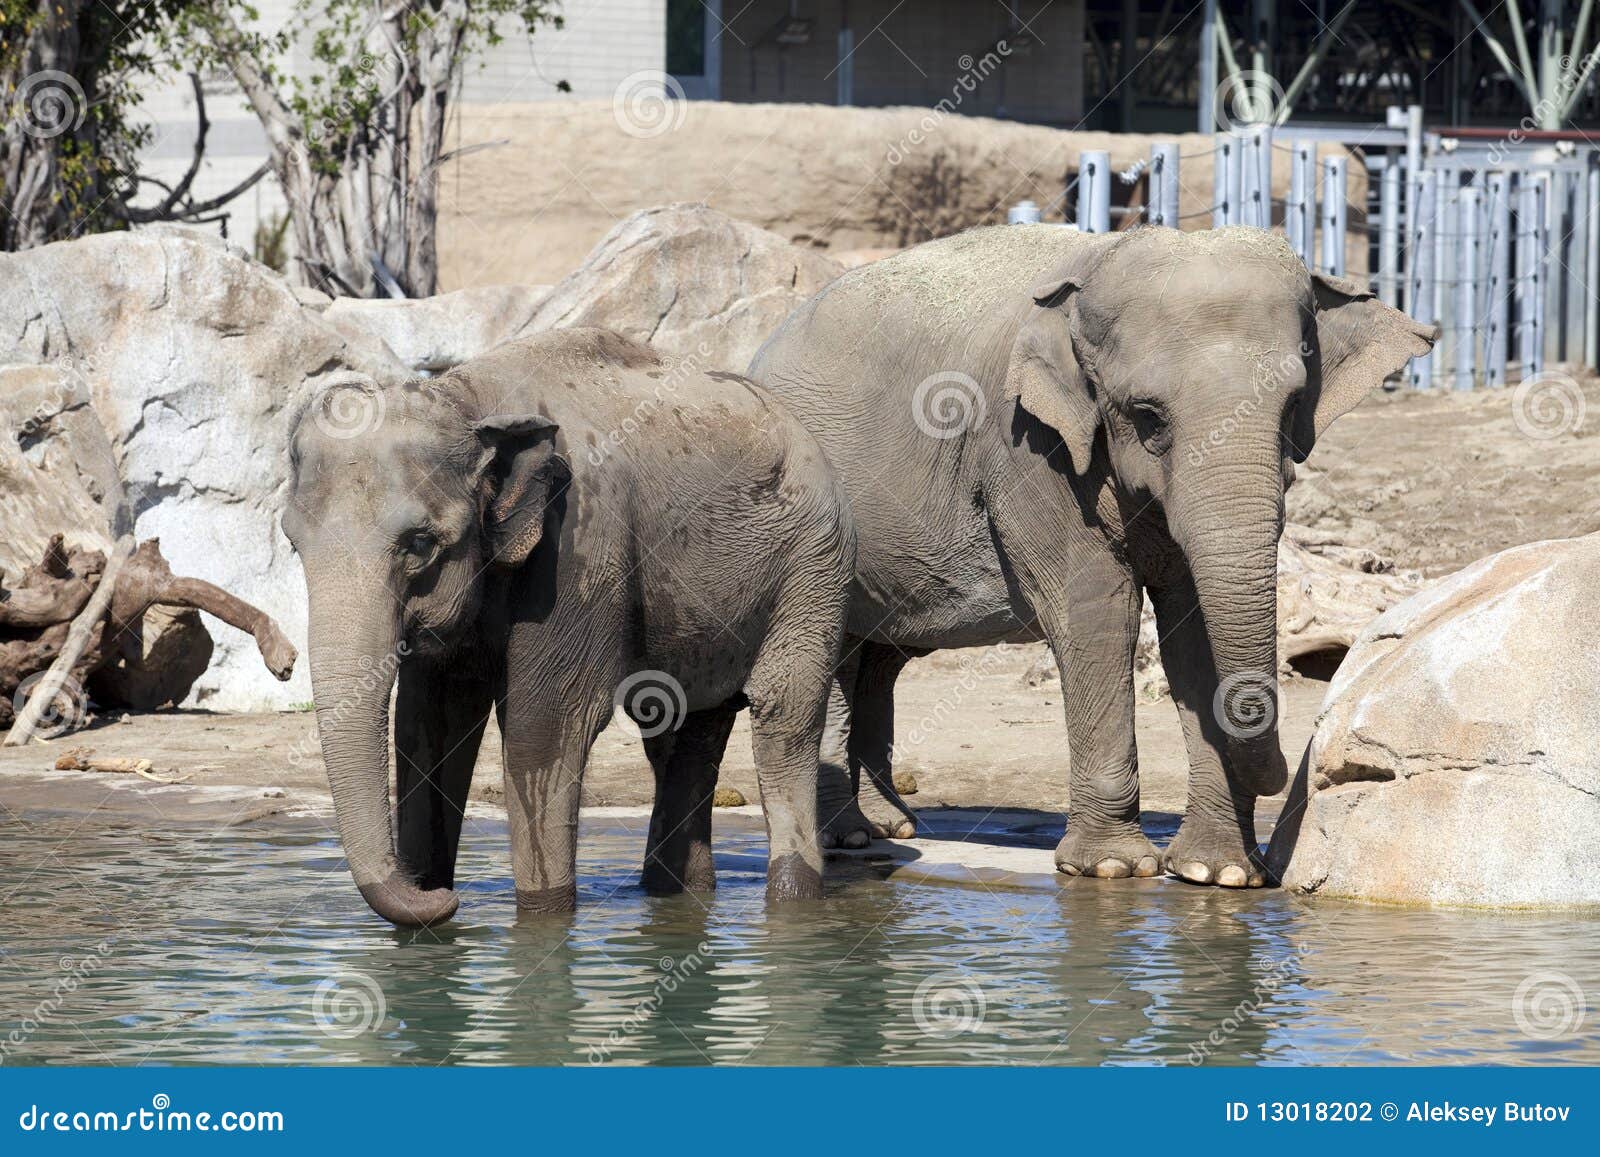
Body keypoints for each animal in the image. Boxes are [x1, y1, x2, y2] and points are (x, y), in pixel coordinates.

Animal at [283, 327, 854, 926]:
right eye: (292, 543)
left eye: (419, 544)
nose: (443, 897)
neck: (468, 398)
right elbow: (427, 721)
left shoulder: (578, 545)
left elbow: (543, 727)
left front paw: (542, 918)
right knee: (683, 729)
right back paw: (677, 894)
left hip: (815, 566)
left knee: (783, 719)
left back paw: (791, 902)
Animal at [749, 224, 1435, 887]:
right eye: (1147, 415)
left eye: (1293, 406)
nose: (1297, 763)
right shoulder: (1026, 445)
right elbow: (1097, 611)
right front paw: (1112, 867)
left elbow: (1192, 628)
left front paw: (1219, 874)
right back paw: (848, 836)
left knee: (878, 658)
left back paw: (889, 825)